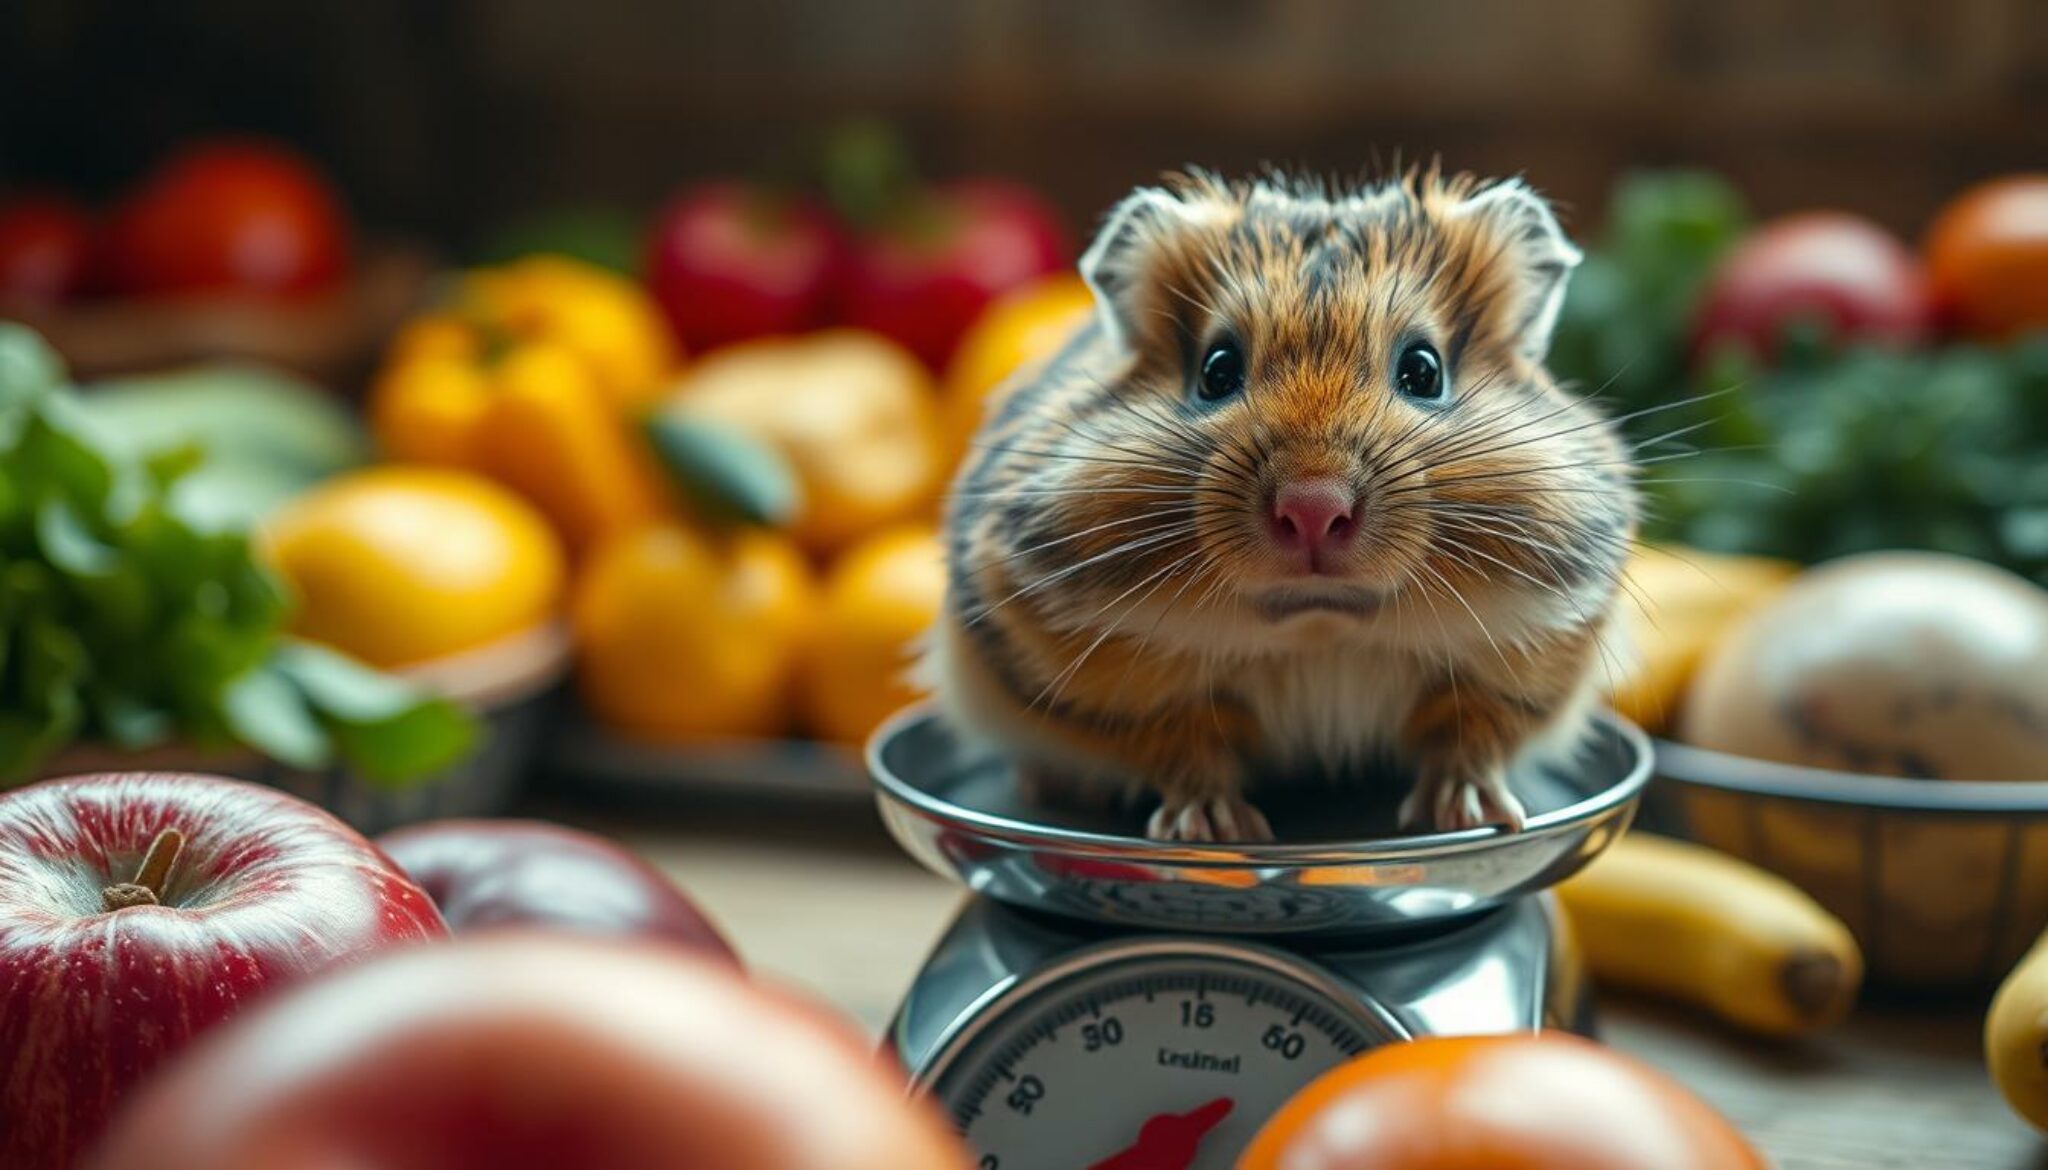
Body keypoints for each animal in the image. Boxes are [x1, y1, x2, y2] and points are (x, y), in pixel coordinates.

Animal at [928, 168, 1637, 843]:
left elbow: (1469, 737)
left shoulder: (1512, 675)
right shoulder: (1132, 696)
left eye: (1424, 370)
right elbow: (1186, 748)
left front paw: (1472, 813)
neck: (1318, 630)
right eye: (1216, 371)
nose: (1312, 509)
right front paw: (1213, 830)